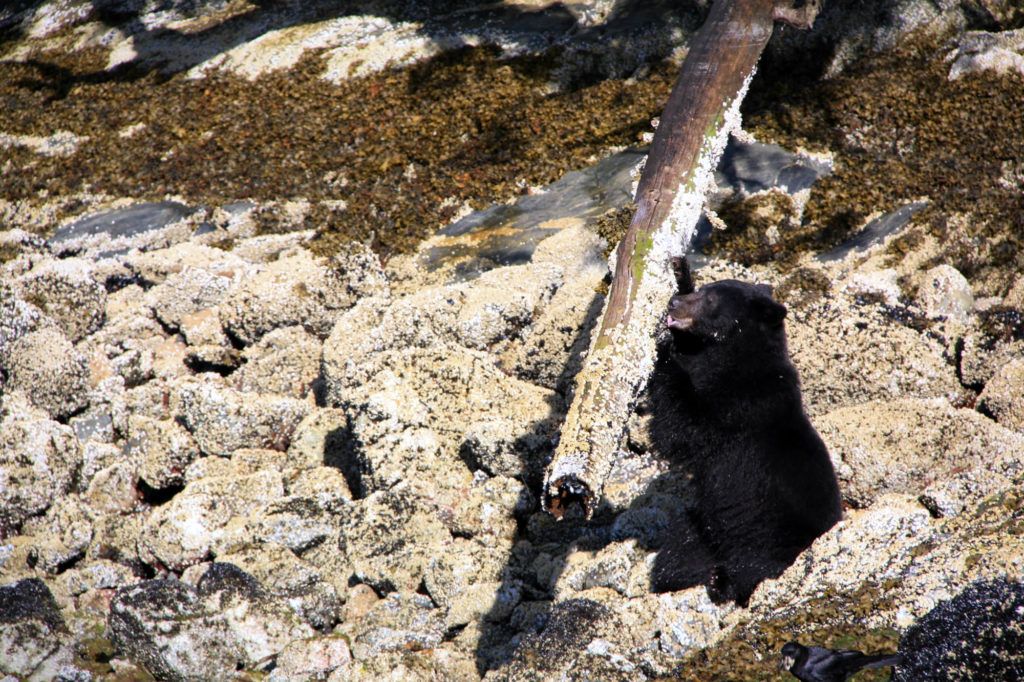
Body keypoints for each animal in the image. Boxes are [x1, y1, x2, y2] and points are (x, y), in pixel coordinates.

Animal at [647, 258, 841, 606]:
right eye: (703, 289)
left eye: (711, 299)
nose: (674, 303)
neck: (733, 358)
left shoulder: (742, 405)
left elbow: (683, 426)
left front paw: (666, 347)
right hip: (704, 527)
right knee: (682, 543)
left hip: (766, 534)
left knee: (752, 567)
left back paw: (721, 584)